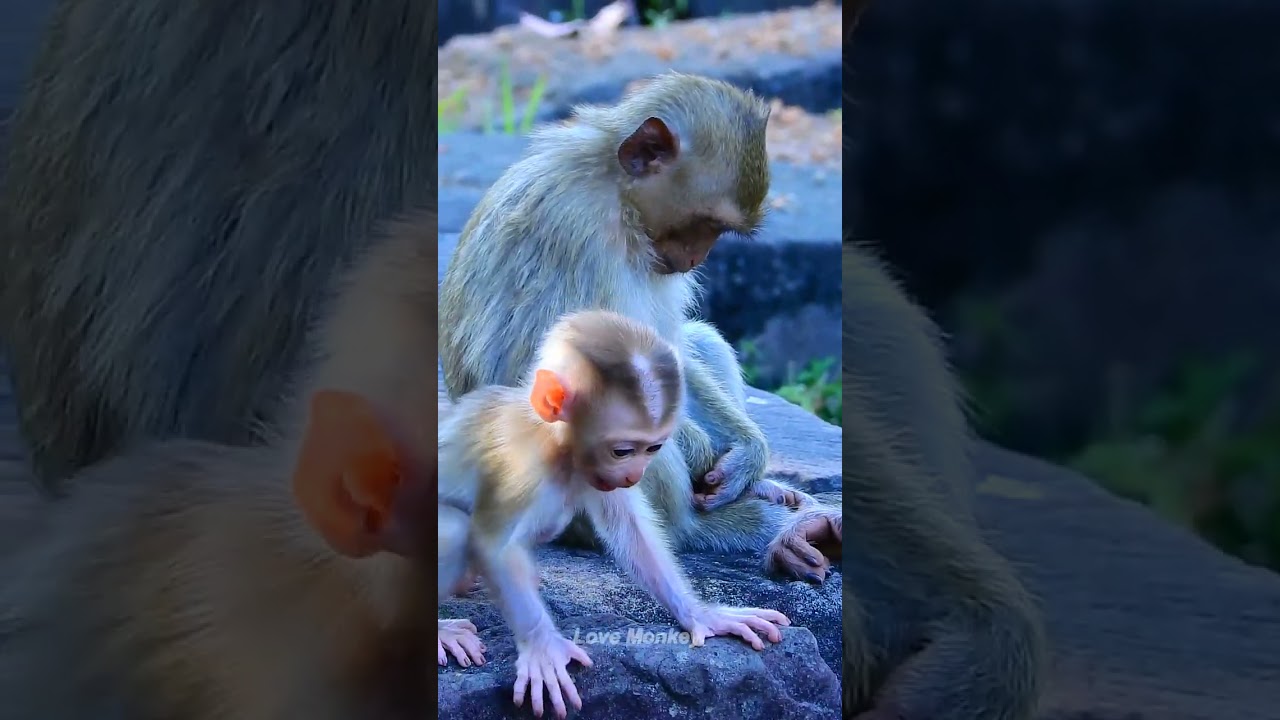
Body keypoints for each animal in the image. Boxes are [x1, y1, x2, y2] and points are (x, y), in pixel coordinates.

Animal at [432, 310, 790, 719]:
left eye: (652, 448)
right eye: (622, 451)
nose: (635, 474)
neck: (554, 443)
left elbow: (633, 533)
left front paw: (704, 614)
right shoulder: (521, 464)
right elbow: (493, 545)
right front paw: (544, 650)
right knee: (455, 530)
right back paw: (441, 630)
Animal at [437, 72, 843, 582]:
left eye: (719, 231)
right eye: (705, 222)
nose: (697, 258)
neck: (618, 194)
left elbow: (671, 350)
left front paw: (749, 454)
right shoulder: (577, 228)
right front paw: (703, 456)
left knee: (698, 343)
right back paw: (731, 528)